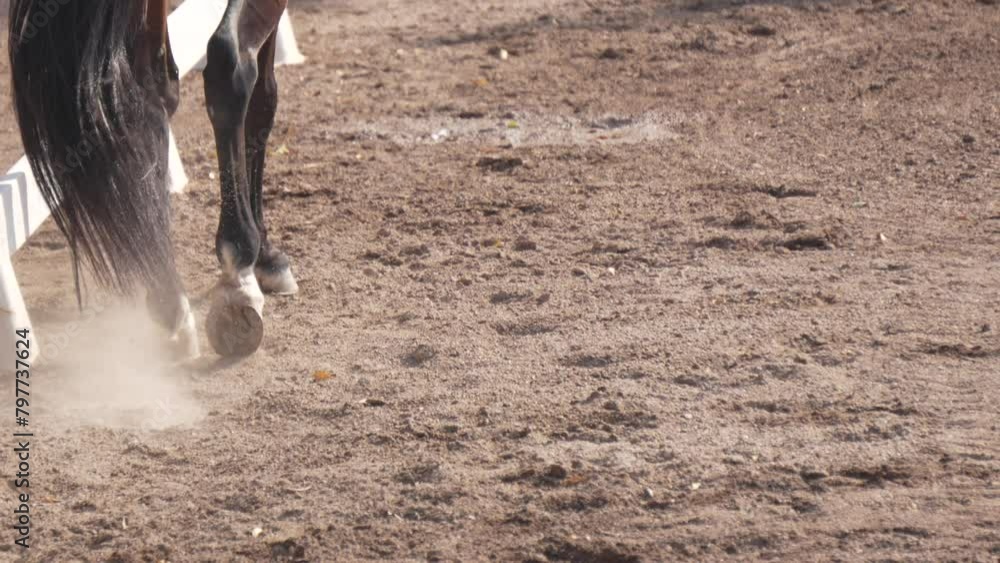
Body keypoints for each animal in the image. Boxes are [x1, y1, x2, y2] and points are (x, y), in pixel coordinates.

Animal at [7, 0, 298, 358]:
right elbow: (263, 99)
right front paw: (266, 258)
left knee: (147, 93)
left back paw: (170, 304)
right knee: (228, 63)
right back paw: (236, 280)